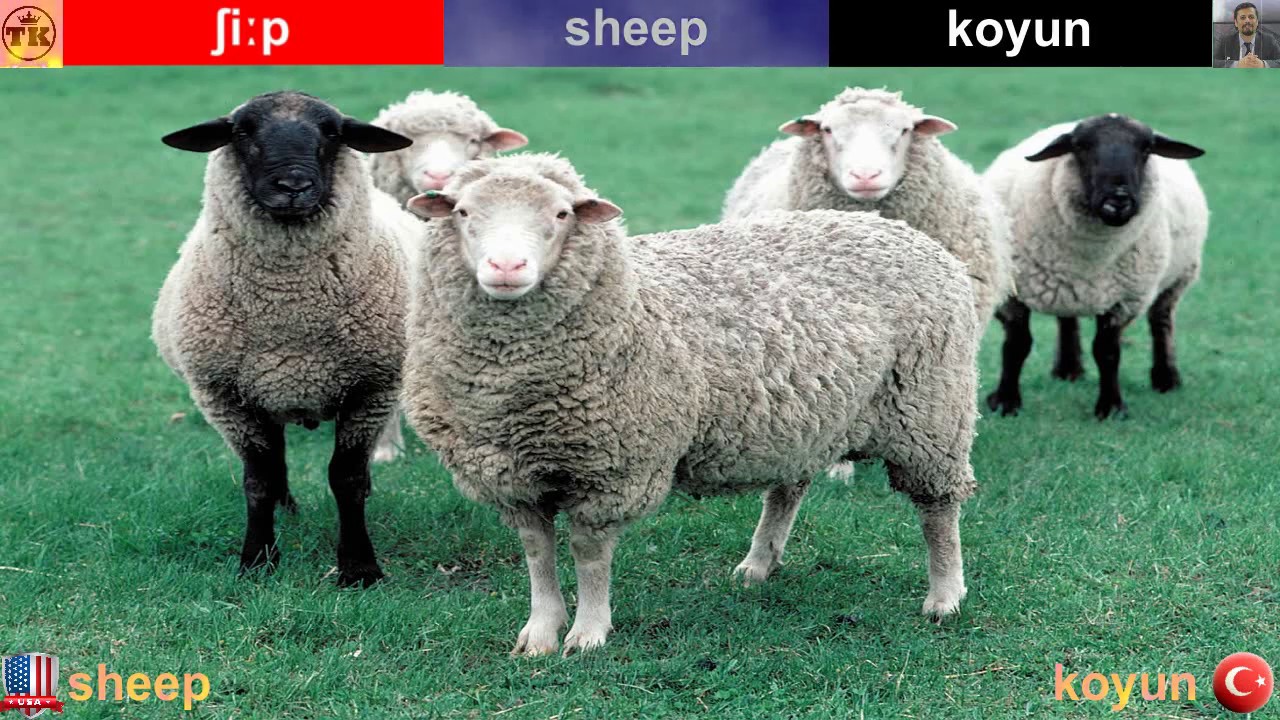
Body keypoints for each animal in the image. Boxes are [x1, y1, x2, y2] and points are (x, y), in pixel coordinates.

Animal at [152, 91, 417, 587]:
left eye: (332, 131)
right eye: (242, 131)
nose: (293, 184)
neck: (288, 310)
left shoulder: (372, 388)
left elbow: (347, 479)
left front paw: (359, 567)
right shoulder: (226, 397)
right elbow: (257, 479)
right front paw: (257, 559)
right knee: (276, 465)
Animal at [401, 153, 981, 656]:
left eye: (562, 214)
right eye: (462, 212)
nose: (506, 265)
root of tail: (899, 230)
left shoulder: (613, 468)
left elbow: (589, 556)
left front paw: (588, 633)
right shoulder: (510, 475)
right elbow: (537, 553)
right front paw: (541, 632)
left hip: (931, 409)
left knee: (938, 508)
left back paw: (945, 594)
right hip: (804, 415)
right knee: (788, 489)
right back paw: (759, 564)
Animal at [981, 114, 1208, 420]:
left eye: (1146, 148)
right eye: (1080, 146)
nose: (1119, 199)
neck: (1090, 255)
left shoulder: (1125, 299)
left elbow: (1107, 351)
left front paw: (1111, 407)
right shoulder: (1011, 291)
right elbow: (1017, 345)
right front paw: (1005, 401)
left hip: (1177, 278)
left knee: (1161, 322)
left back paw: (1165, 378)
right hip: (1065, 285)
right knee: (1067, 318)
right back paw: (1068, 369)